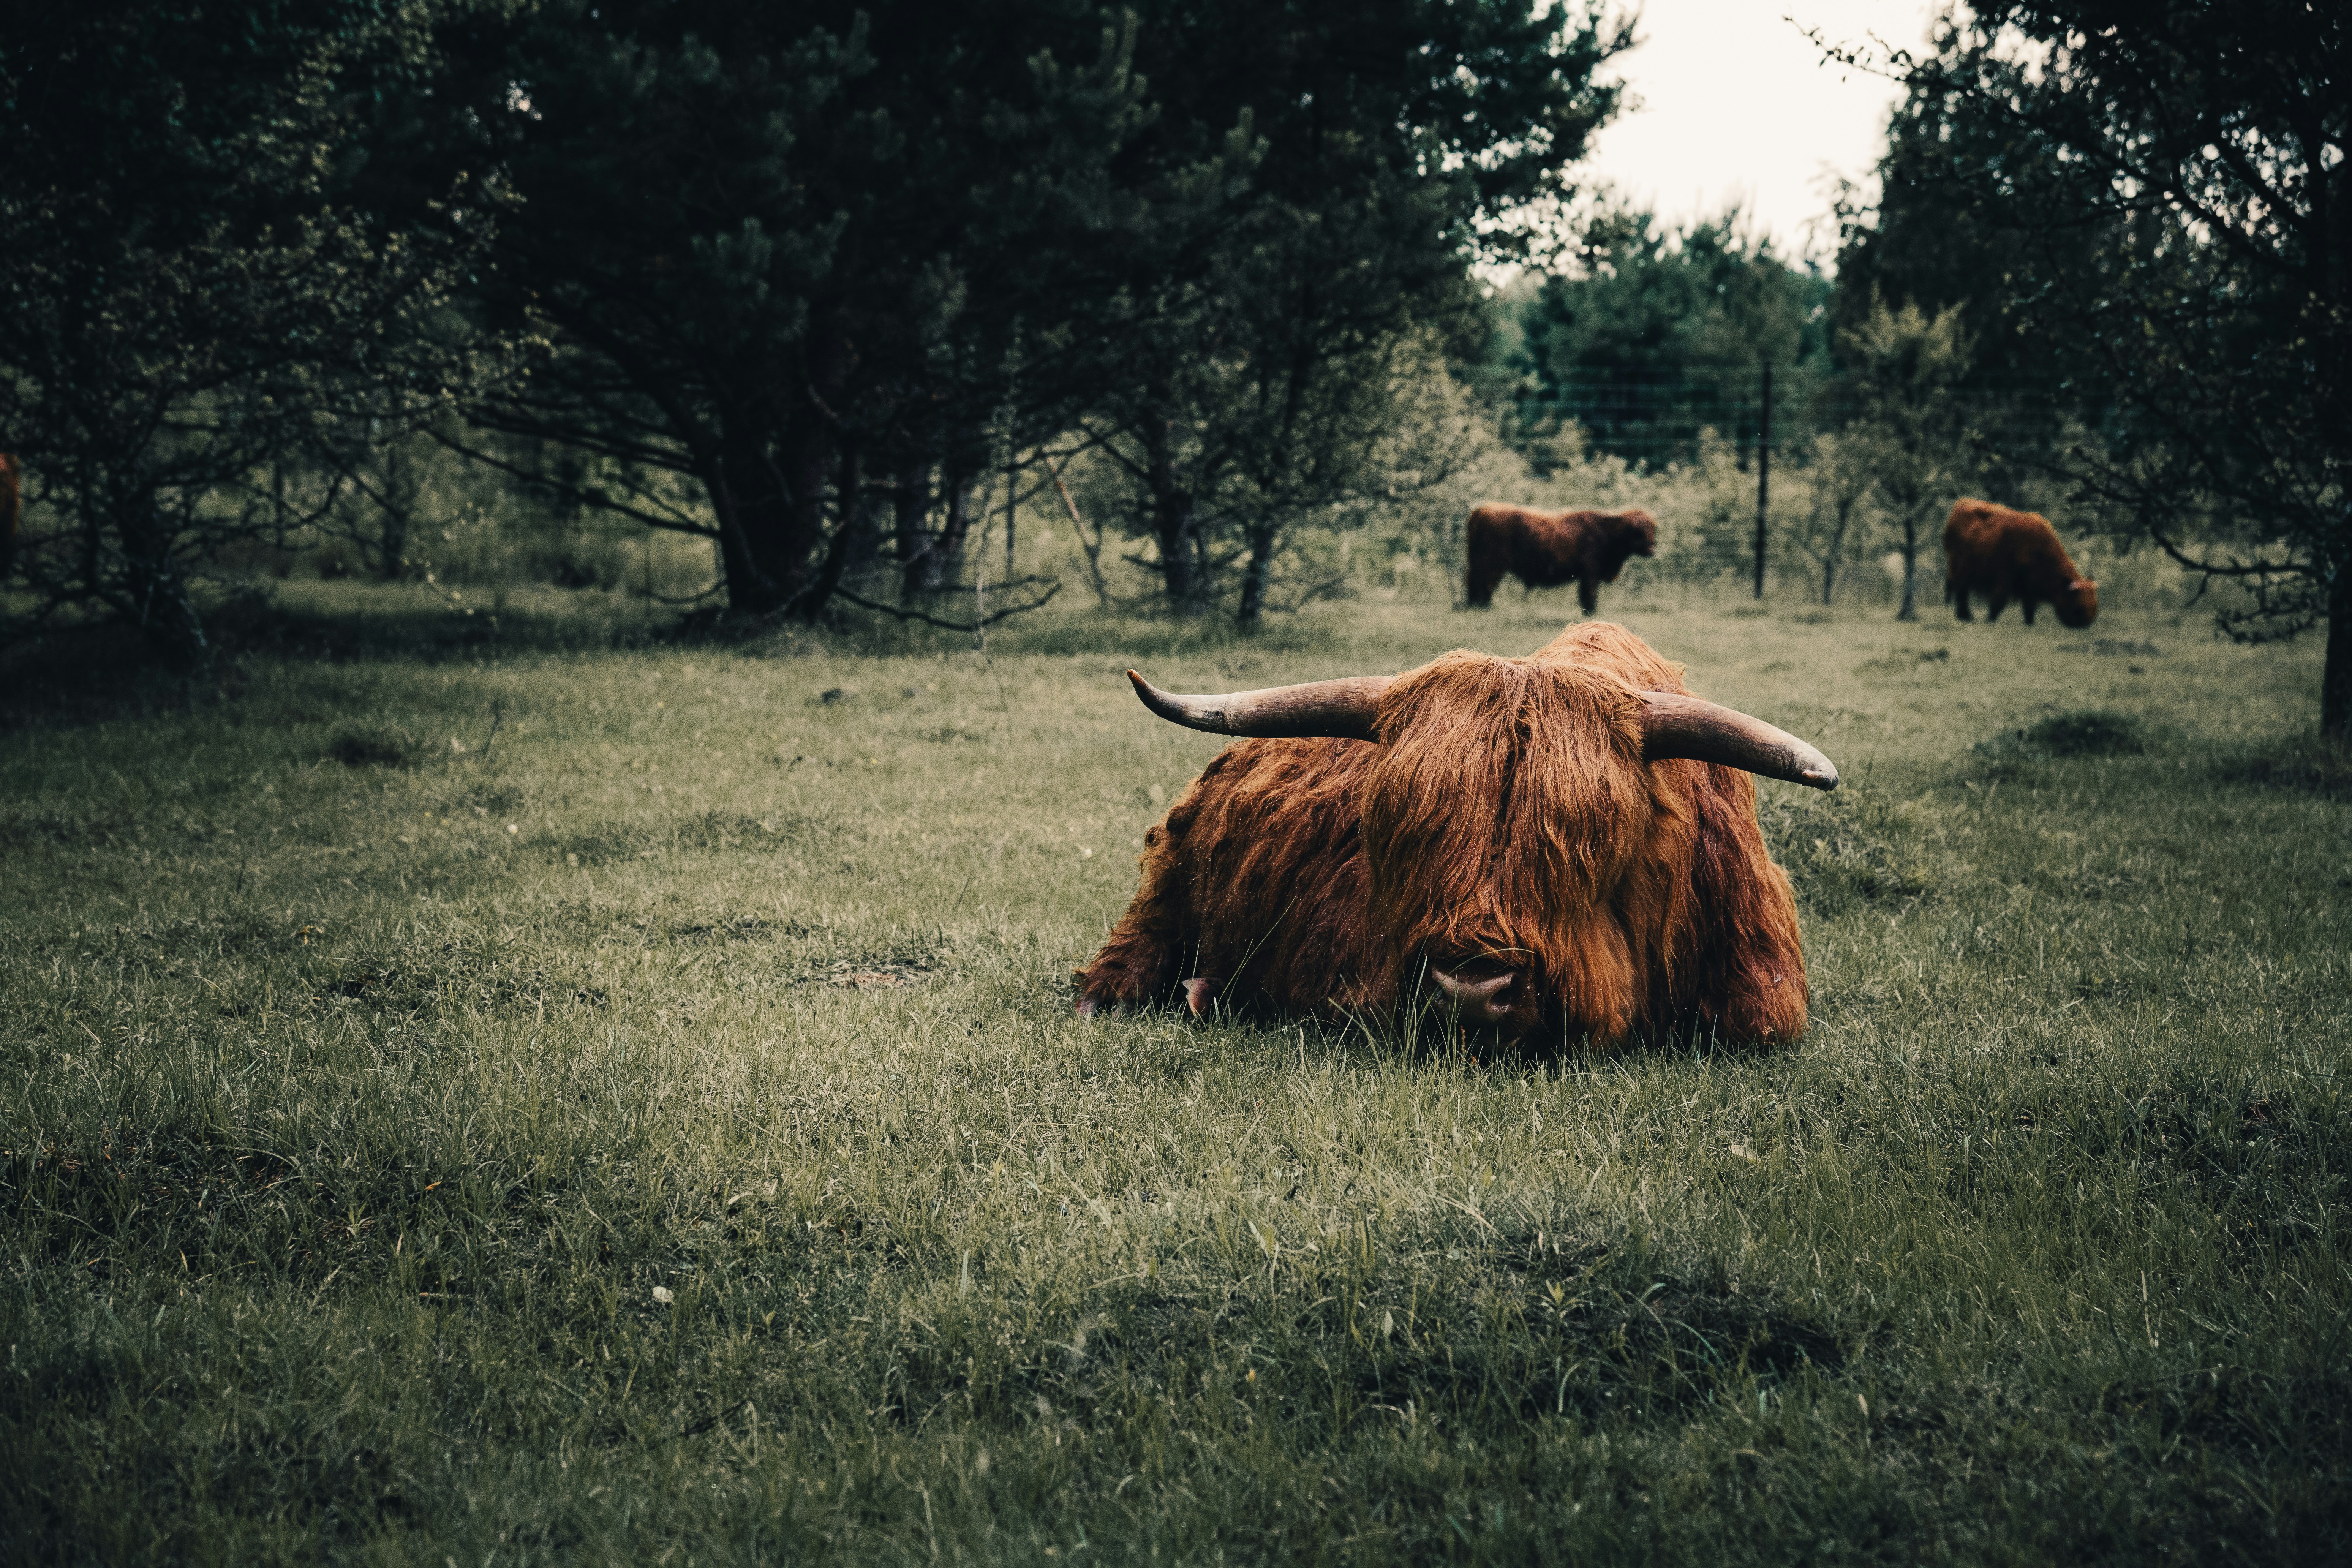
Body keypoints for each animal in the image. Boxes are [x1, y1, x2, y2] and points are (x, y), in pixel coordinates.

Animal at [1464, 504, 1657, 614]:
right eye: (1636, 530)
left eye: (1653, 528)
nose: (1651, 548)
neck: (1607, 530)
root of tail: (1484, 510)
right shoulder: (1591, 574)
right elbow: (1589, 594)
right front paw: (1590, 613)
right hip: (1493, 565)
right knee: (1485, 585)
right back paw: (1484, 609)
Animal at [1943, 499, 2097, 628]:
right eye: (2079, 608)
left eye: (2095, 605)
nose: (2086, 623)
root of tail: (1962, 502)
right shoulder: (2005, 577)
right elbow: (1999, 601)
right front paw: (1991, 619)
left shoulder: (2030, 586)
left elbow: (2030, 606)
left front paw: (2030, 623)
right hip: (1959, 566)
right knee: (1960, 590)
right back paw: (1964, 615)